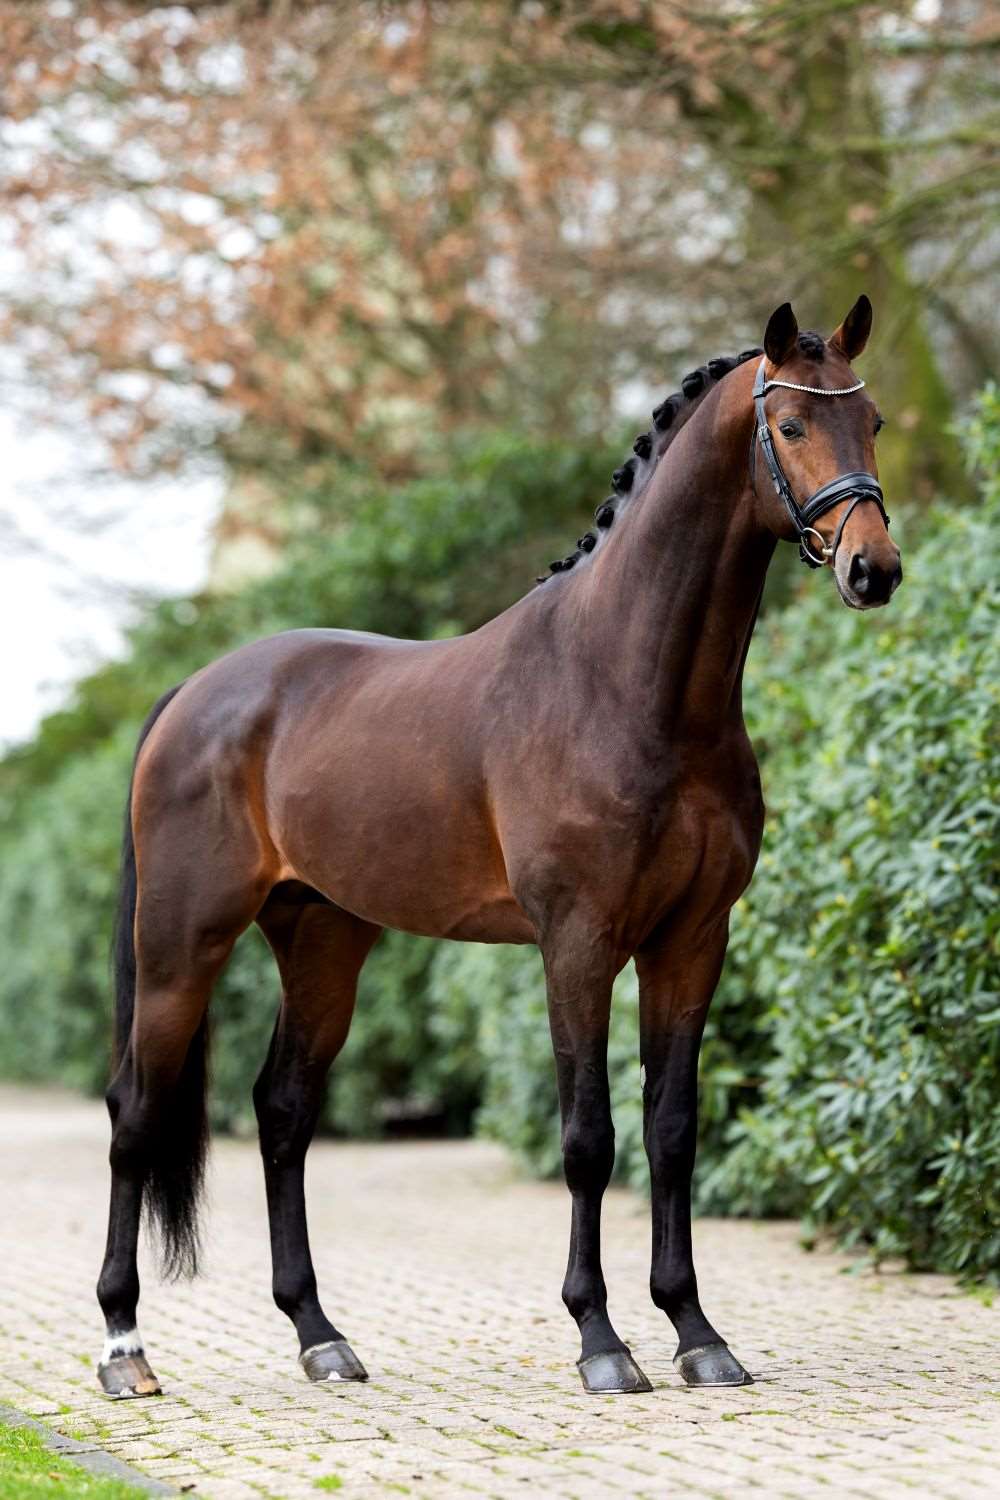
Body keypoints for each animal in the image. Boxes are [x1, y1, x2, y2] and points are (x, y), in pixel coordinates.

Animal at [96, 296, 901, 1400]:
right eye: (790, 425)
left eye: (873, 422)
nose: (875, 569)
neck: (625, 685)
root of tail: (191, 695)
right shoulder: (578, 941)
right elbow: (588, 1135)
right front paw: (602, 1342)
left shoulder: (693, 940)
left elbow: (672, 1129)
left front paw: (696, 1334)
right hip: (184, 940)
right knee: (135, 1111)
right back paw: (124, 1348)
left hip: (323, 940)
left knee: (283, 1111)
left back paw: (320, 1337)